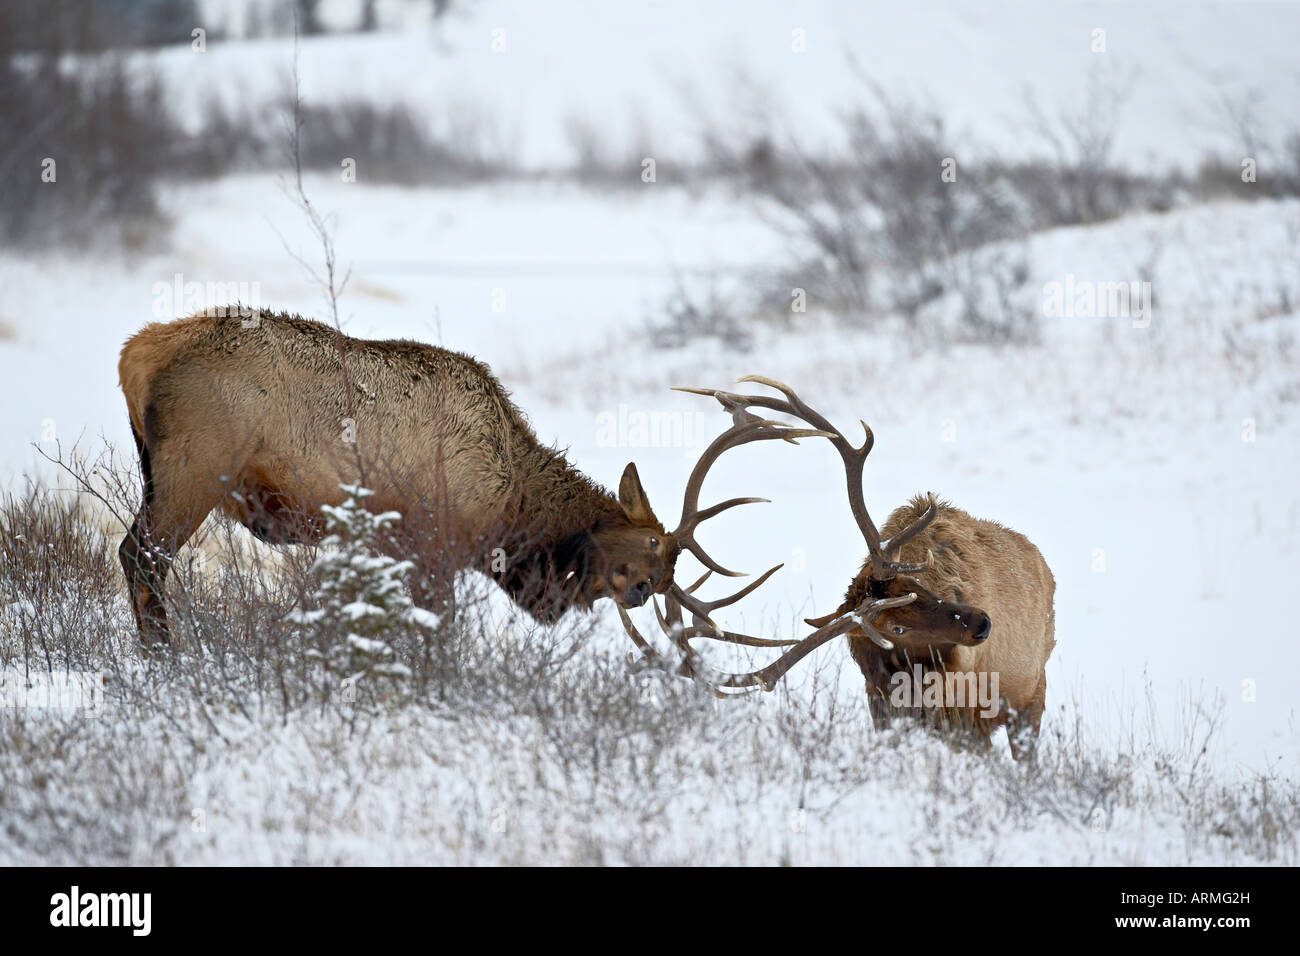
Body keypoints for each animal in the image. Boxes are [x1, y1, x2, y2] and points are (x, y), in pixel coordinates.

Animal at [116, 310, 821, 646]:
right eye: (653, 546)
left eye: (667, 571)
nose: (645, 591)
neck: (512, 504)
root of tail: (135, 352)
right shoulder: (436, 544)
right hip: (195, 470)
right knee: (140, 555)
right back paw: (166, 661)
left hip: (161, 470)